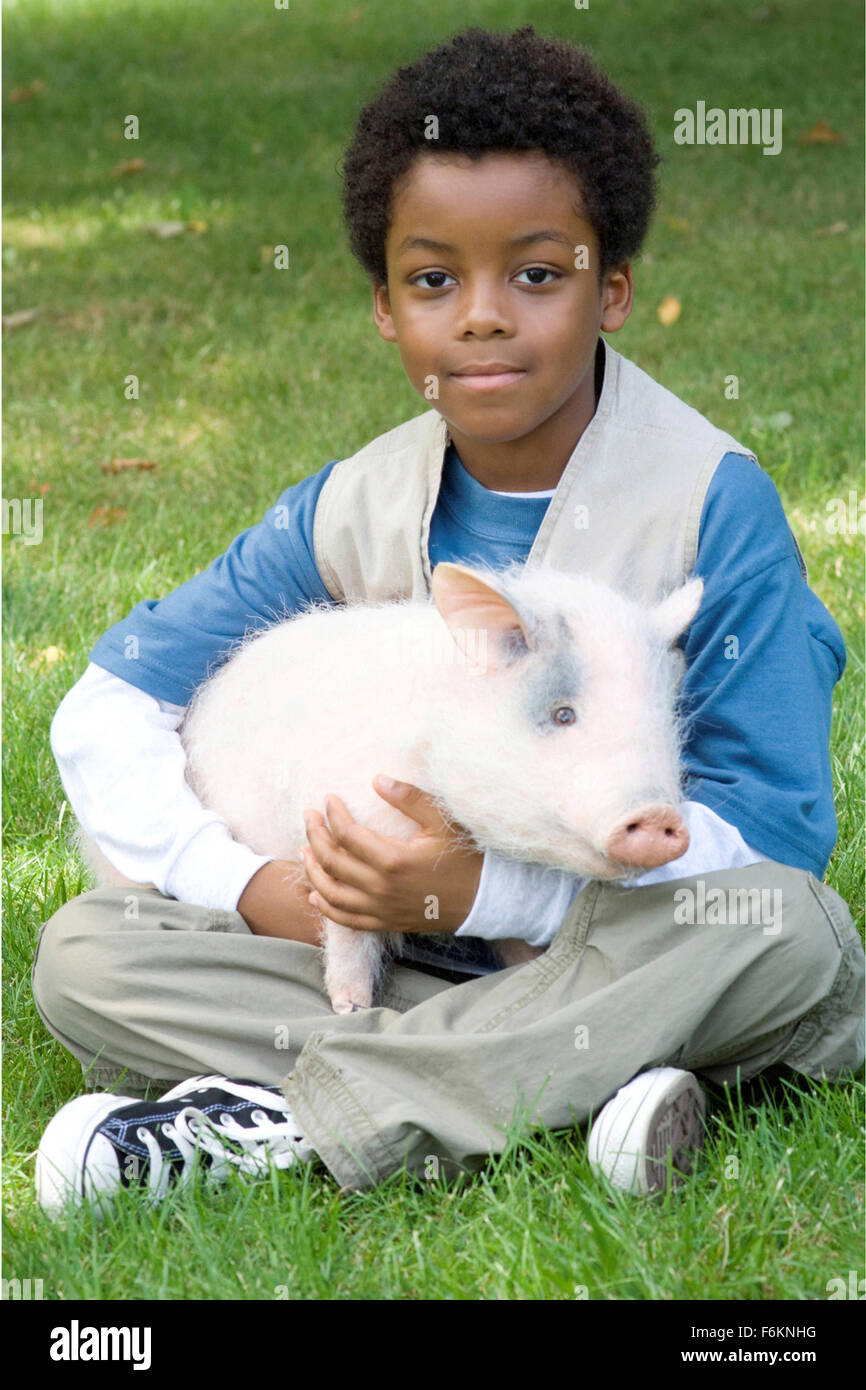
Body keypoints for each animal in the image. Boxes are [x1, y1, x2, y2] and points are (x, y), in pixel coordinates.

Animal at [75, 561, 703, 1014]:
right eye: (563, 714)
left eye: (664, 720)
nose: (660, 818)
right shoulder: (337, 829)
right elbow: (348, 934)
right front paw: (350, 1010)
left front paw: (531, 973)